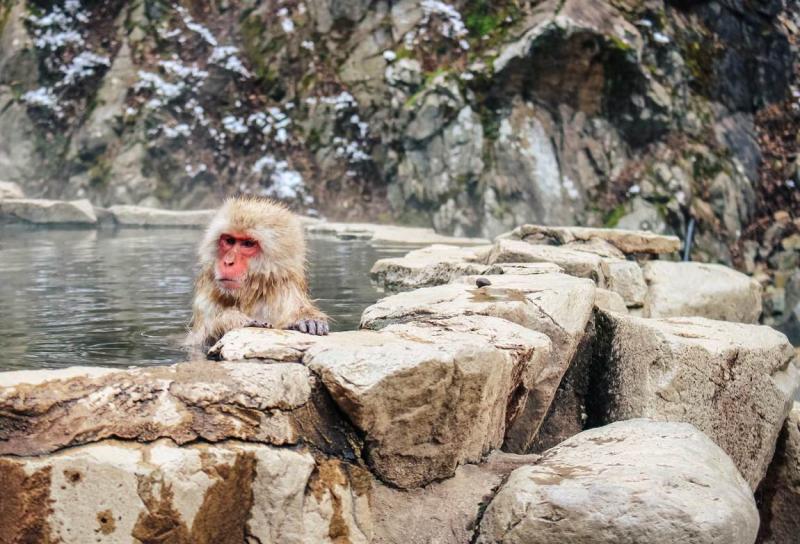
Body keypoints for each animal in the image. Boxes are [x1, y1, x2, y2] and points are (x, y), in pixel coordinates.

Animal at [186, 196, 329, 351]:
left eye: (248, 244)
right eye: (229, 240)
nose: (228, 262)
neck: (250, 294)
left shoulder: (285, 291)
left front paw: (306, 318)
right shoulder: (206, 298)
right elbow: (198, 342)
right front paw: (233, 320)